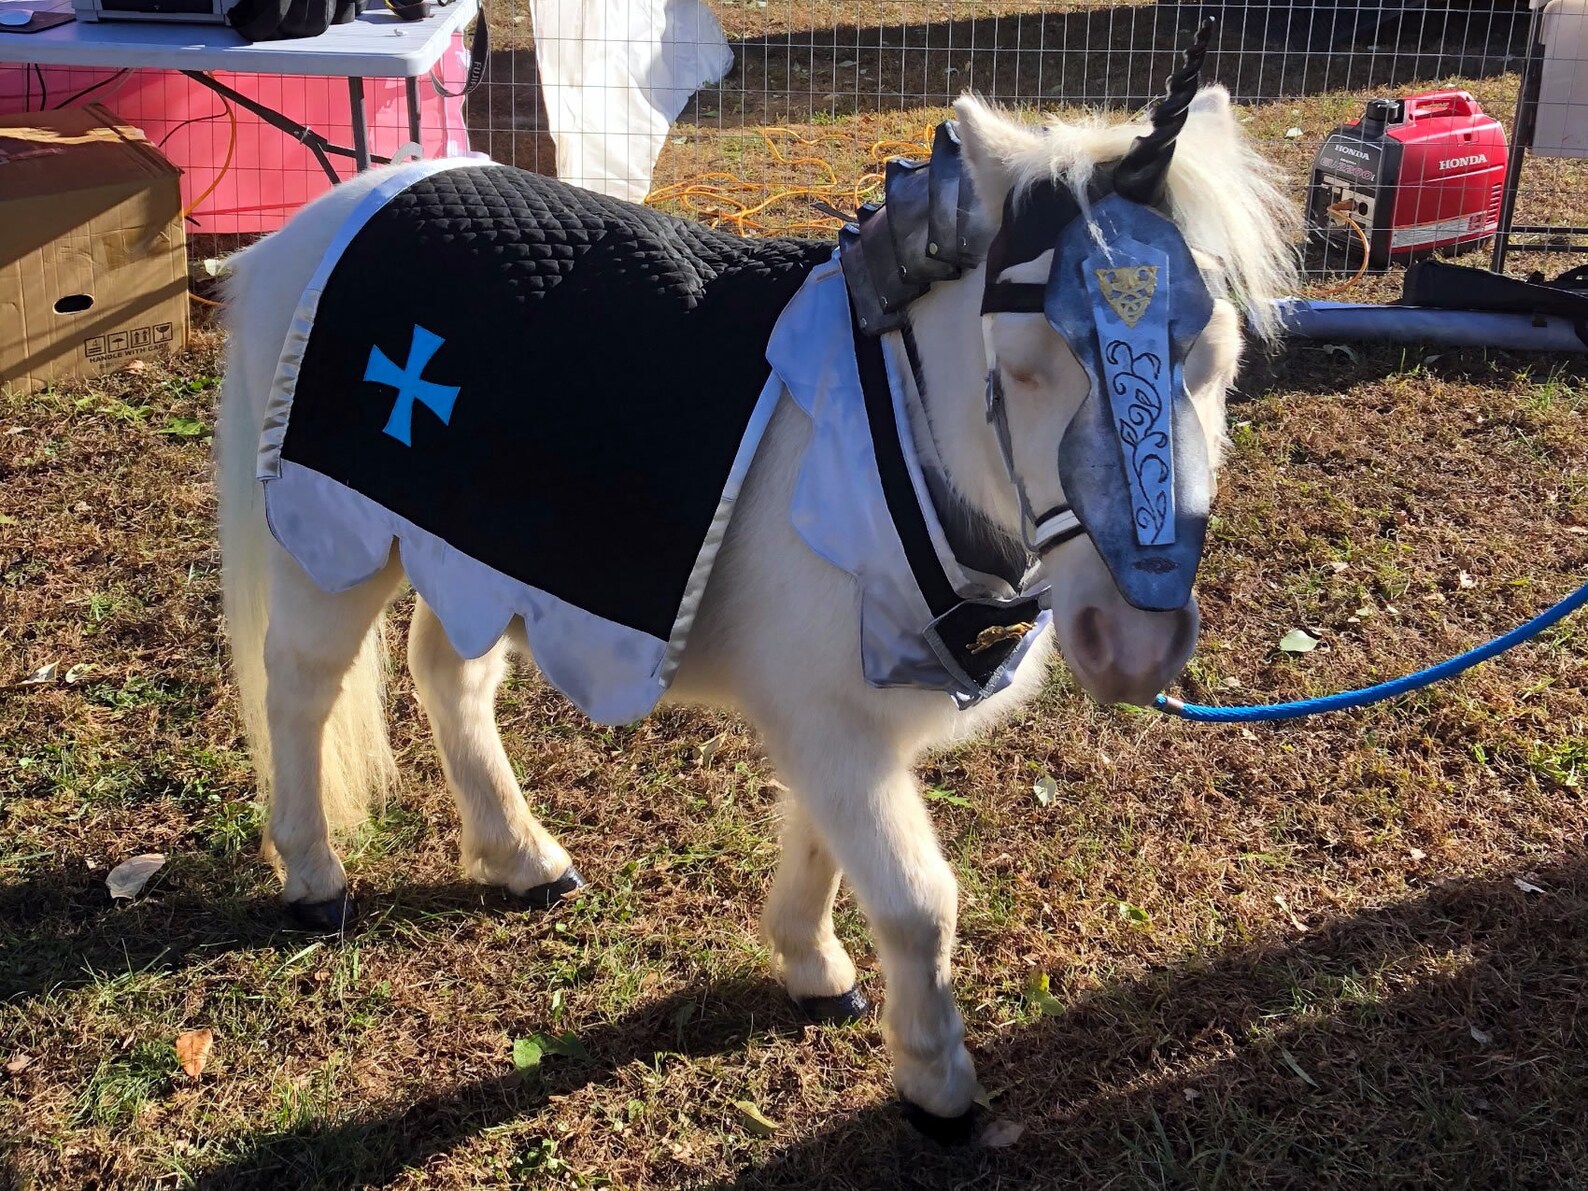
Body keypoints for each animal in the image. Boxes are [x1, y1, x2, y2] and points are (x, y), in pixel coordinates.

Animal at [214, 37, 1299, 1136]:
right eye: (1029, 366)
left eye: (1215, 359)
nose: (1136, 645)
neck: (898, 429)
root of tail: (330, 213)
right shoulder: (830, 717)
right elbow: (918, 903)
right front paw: (934, 1079)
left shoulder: (844, 716)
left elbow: (826, 847)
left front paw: (812, 967)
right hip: (330, 547)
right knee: (300, 689)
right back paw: (314, 874)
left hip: (472, 550)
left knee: (448, 675)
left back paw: (521, 857)